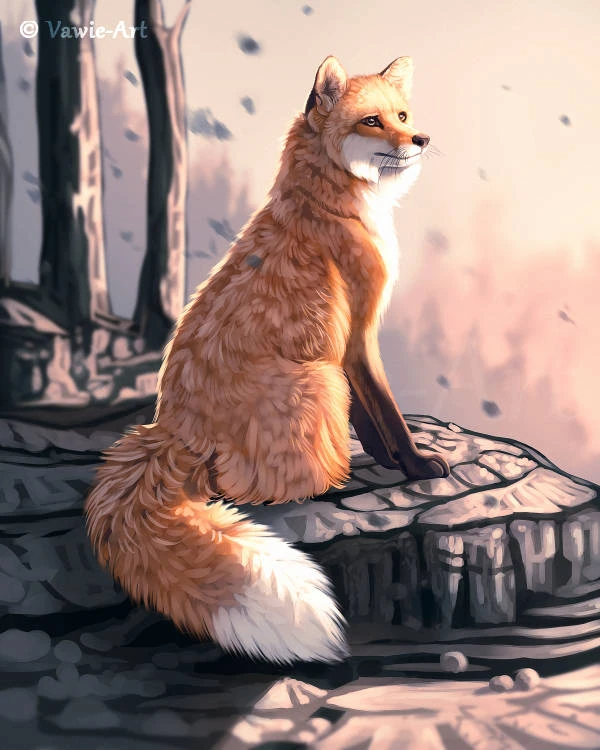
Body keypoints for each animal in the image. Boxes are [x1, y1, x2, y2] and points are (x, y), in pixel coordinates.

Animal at [85, 55, 450, 665]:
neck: (329, 199)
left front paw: (387, 458)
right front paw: (417, 465)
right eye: (372, 121)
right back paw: (330, 484)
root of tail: (172, 429)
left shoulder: (348, 345)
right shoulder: (356, 338)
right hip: (318, 381)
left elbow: (370, 419)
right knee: (245, 492)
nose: (421, 138)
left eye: (402, 115)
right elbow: (386, 411)